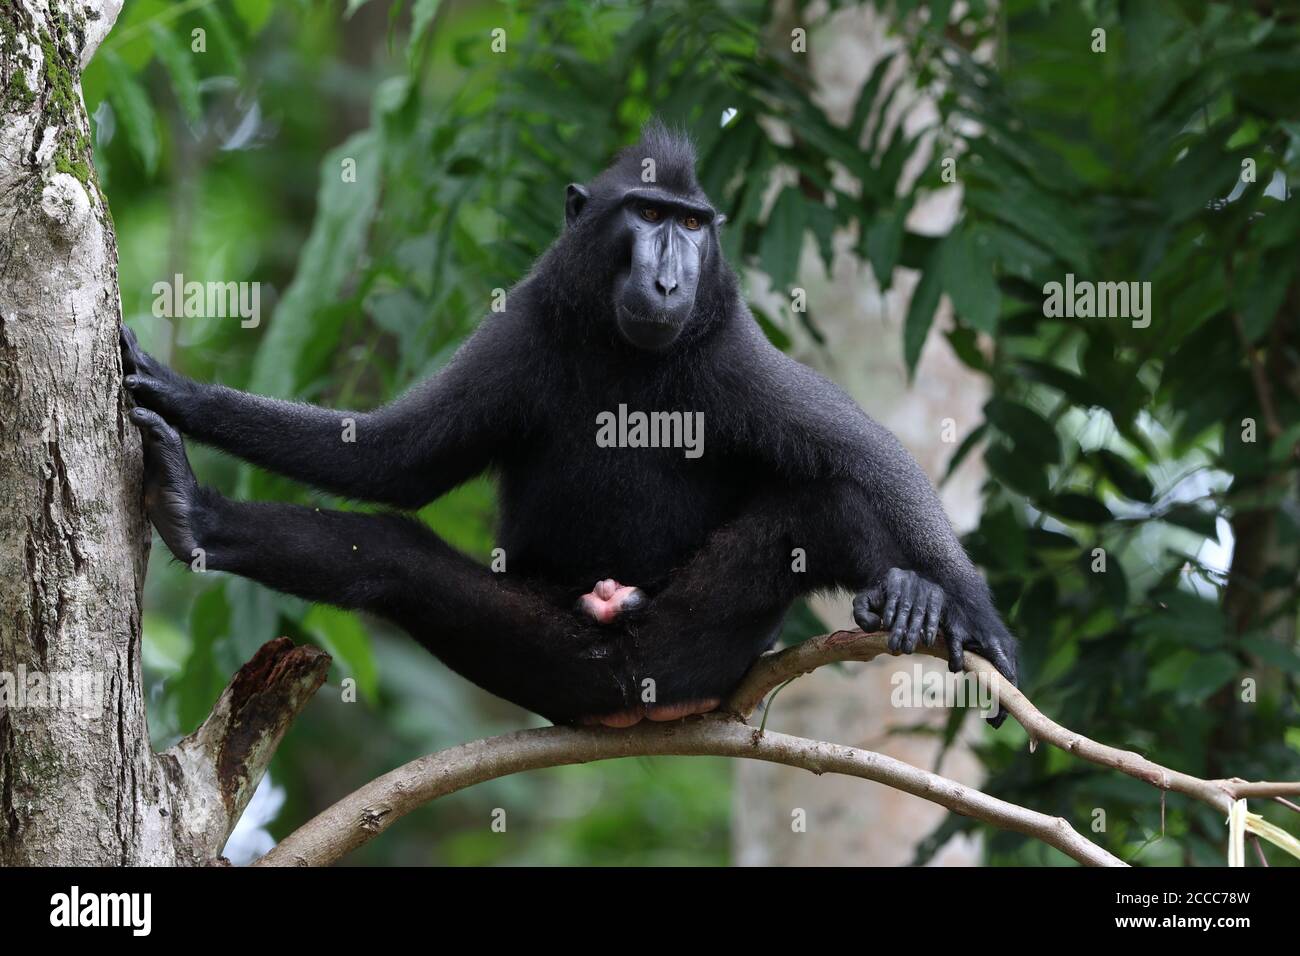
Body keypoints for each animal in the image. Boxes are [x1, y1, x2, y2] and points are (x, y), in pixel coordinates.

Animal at [121, 120, 1018, 728]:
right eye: (648, 214)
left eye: (693, 225)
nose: (669, 278)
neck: (624, 352)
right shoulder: (525, 324)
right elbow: (392, 460)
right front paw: (181, 393)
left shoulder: (732, 353)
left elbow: (867, 455)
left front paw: (975, 615)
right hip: (547, 659)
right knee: (388, 559)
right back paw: (193, 516)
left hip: (698, 645)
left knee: (827, 509)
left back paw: (909, 596)